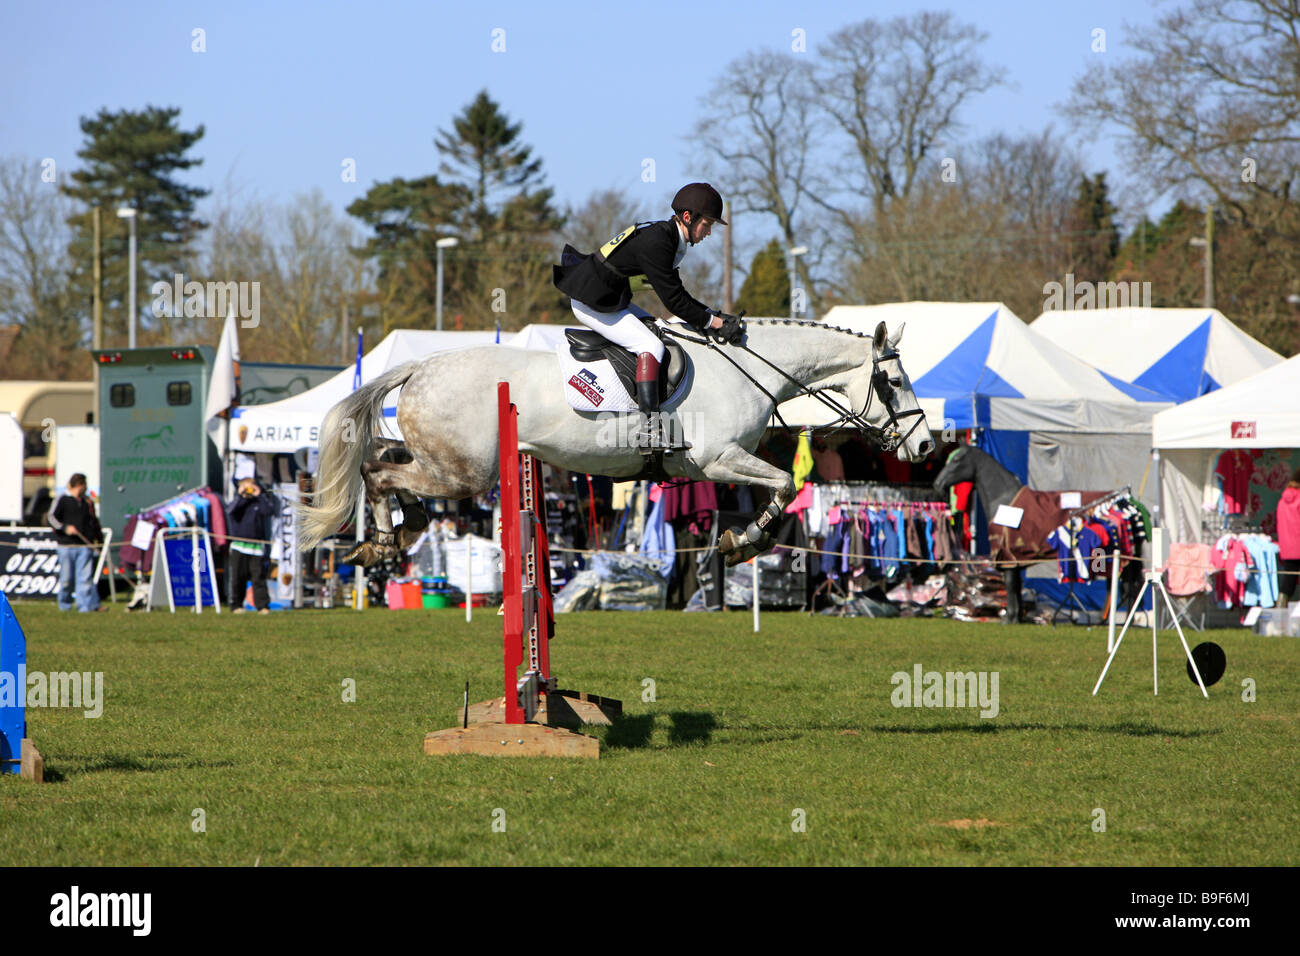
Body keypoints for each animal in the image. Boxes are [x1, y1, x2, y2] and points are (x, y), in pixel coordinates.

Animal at [298, 319, 935, 568]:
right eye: (893, 381)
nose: (926, 447)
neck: (751, 369)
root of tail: (421, 366)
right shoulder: (718, 461)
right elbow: (785, 483)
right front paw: (741, 543)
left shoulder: (713, 469)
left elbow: (782, 485)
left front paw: (739, 541)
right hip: (463, 472)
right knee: (381, 474)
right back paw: (386, 539)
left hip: (444, 461)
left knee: (381, 461)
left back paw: (392, 535)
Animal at [931, 444, 1120, 623]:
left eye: (957, 460)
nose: (937, 484)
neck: (1004, 501)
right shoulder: (1016, 560)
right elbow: (1016, 587)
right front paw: (1017, 618)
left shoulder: (1007, 557)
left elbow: (1010, 584)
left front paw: (1009, 618)